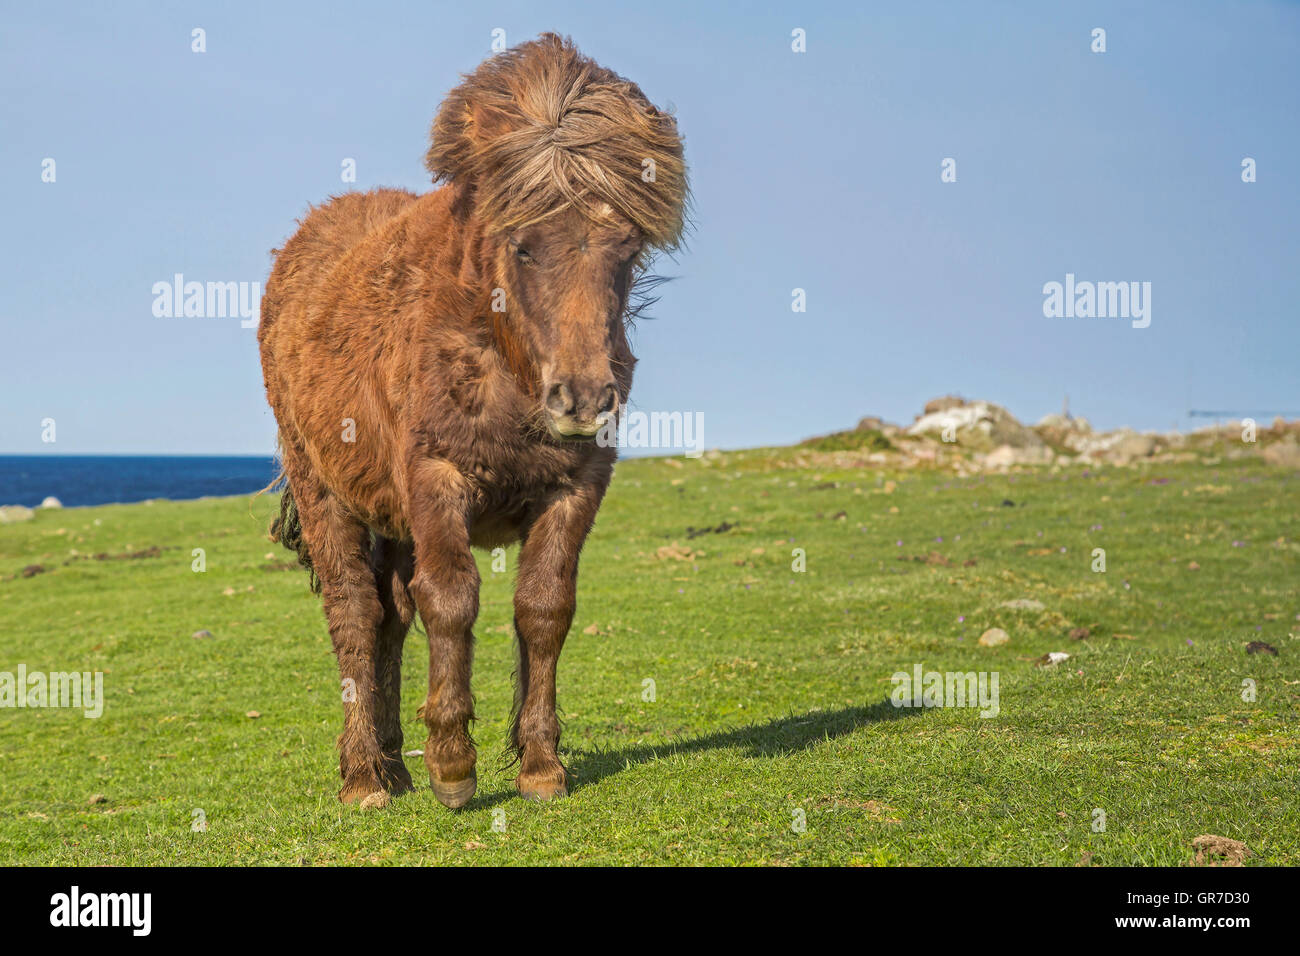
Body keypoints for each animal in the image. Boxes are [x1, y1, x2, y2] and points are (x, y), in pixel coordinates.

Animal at [257, 33, 688, 808]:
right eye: (522, 246)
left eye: (627, 248)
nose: (582, 399)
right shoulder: (437, 480)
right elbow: (452, 602)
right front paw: (454, 765)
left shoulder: (575, 489)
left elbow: (544, 609)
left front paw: (540, 765)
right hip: (323, 489)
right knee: (355, 613)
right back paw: (363, 777)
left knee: (392, 614)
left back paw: (393, 764)